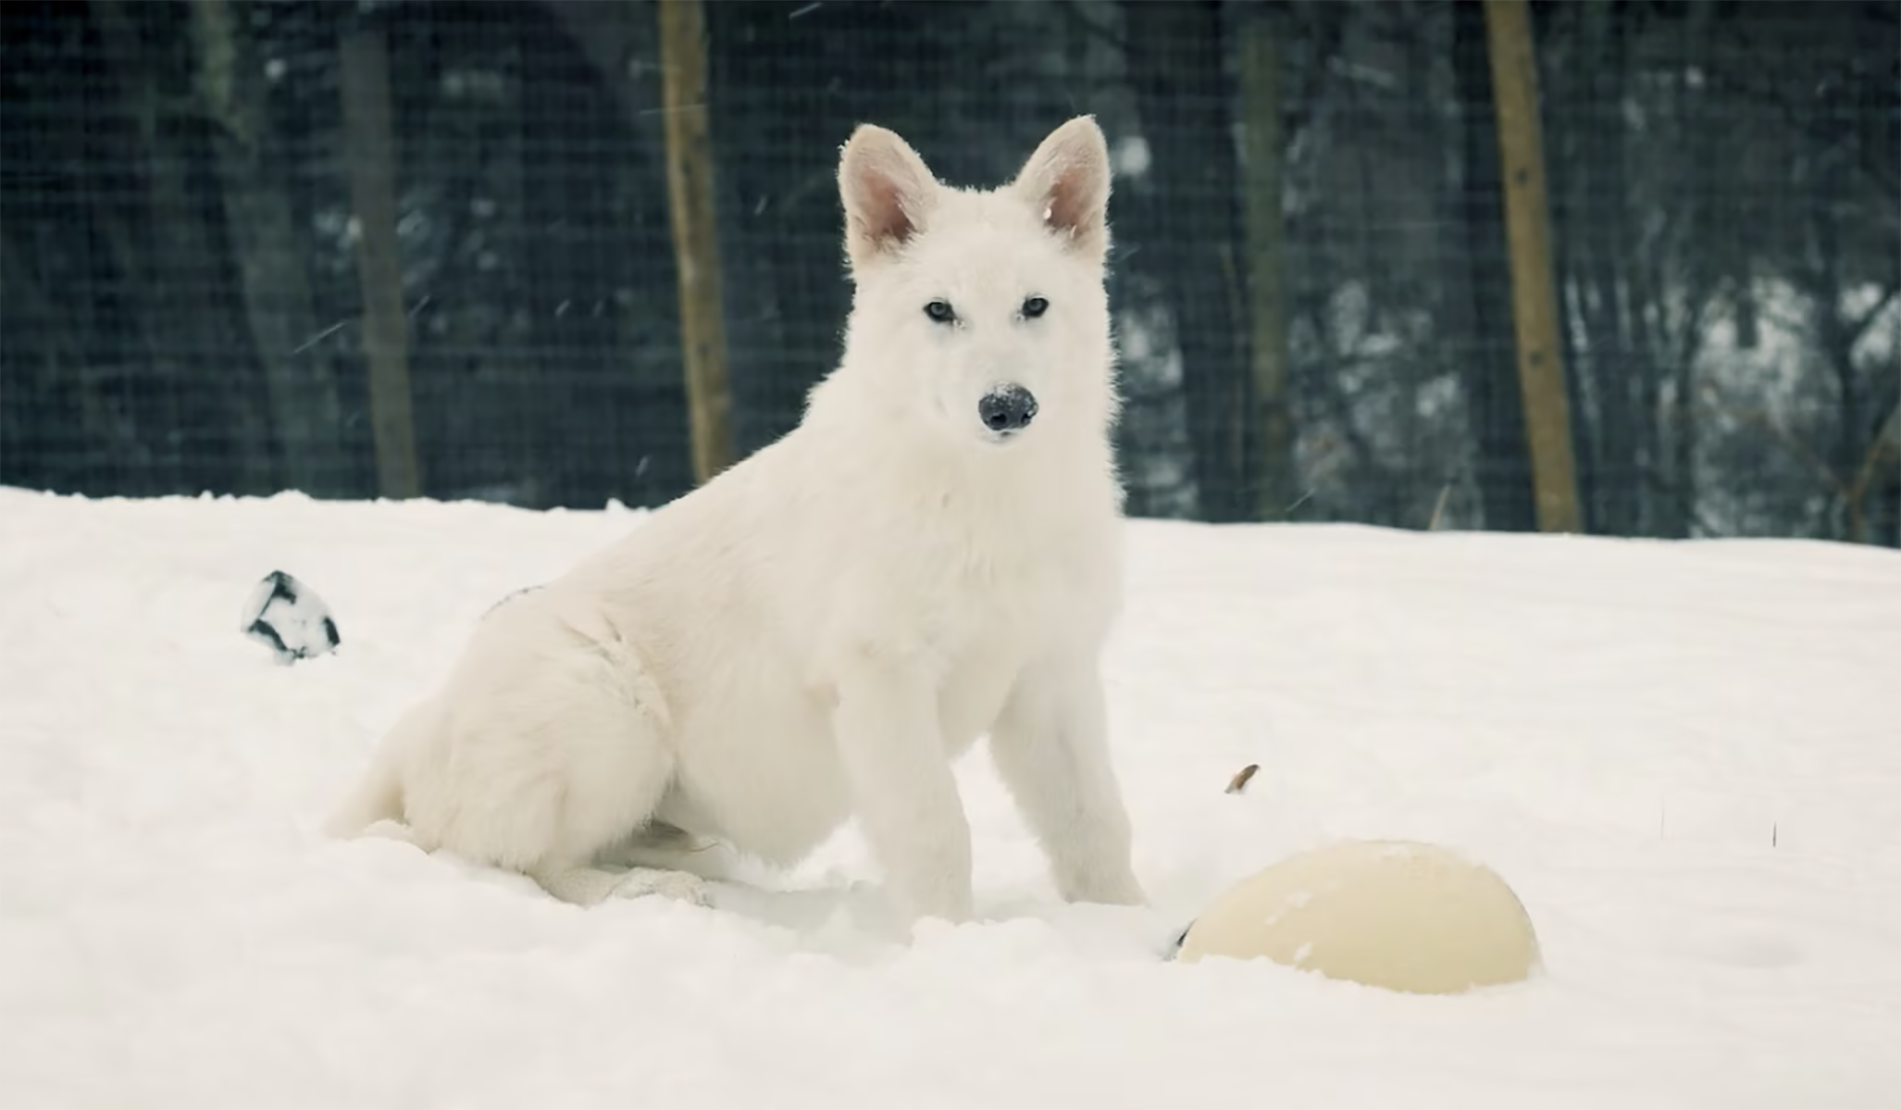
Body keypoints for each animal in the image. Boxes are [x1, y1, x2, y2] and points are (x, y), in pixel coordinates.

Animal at [324, 116, 1147, 926]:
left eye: (1034, 306)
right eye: (940, 312)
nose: (1007, 407)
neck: (984, 496)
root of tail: (418, 736)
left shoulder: (1051, 681)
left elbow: (1094, 826)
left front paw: (1127, 928)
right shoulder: (883, 681)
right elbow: (935, 832)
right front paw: (943, 942)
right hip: (608, 708)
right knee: (522, 864)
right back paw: (649, 896)